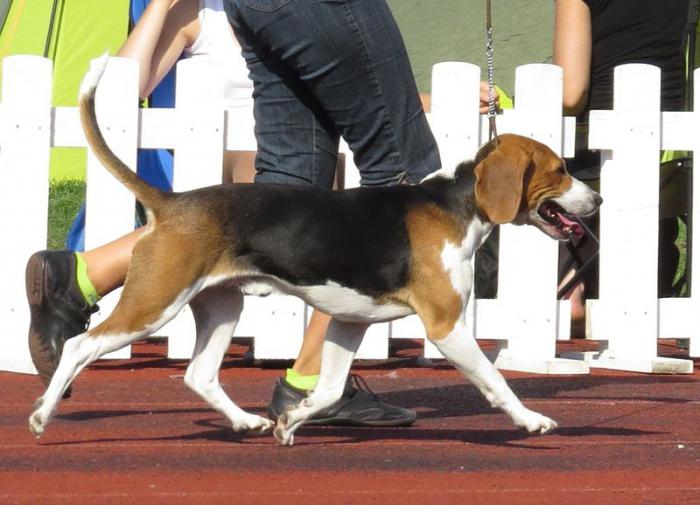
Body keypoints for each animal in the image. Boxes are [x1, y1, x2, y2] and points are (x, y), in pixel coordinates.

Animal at [28, 55, 600, 444]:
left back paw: (246, 421)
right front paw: (530, 419)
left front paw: (292, 420)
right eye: (559, 170)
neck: (458, 202)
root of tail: (172, 202)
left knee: (198, 374)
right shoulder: (446, 326)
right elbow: (496, 380)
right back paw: (41, 413)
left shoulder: (349, 321)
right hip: (154, 303)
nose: (597, 199)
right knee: (80, 347)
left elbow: (324, 390)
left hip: (220, 306)